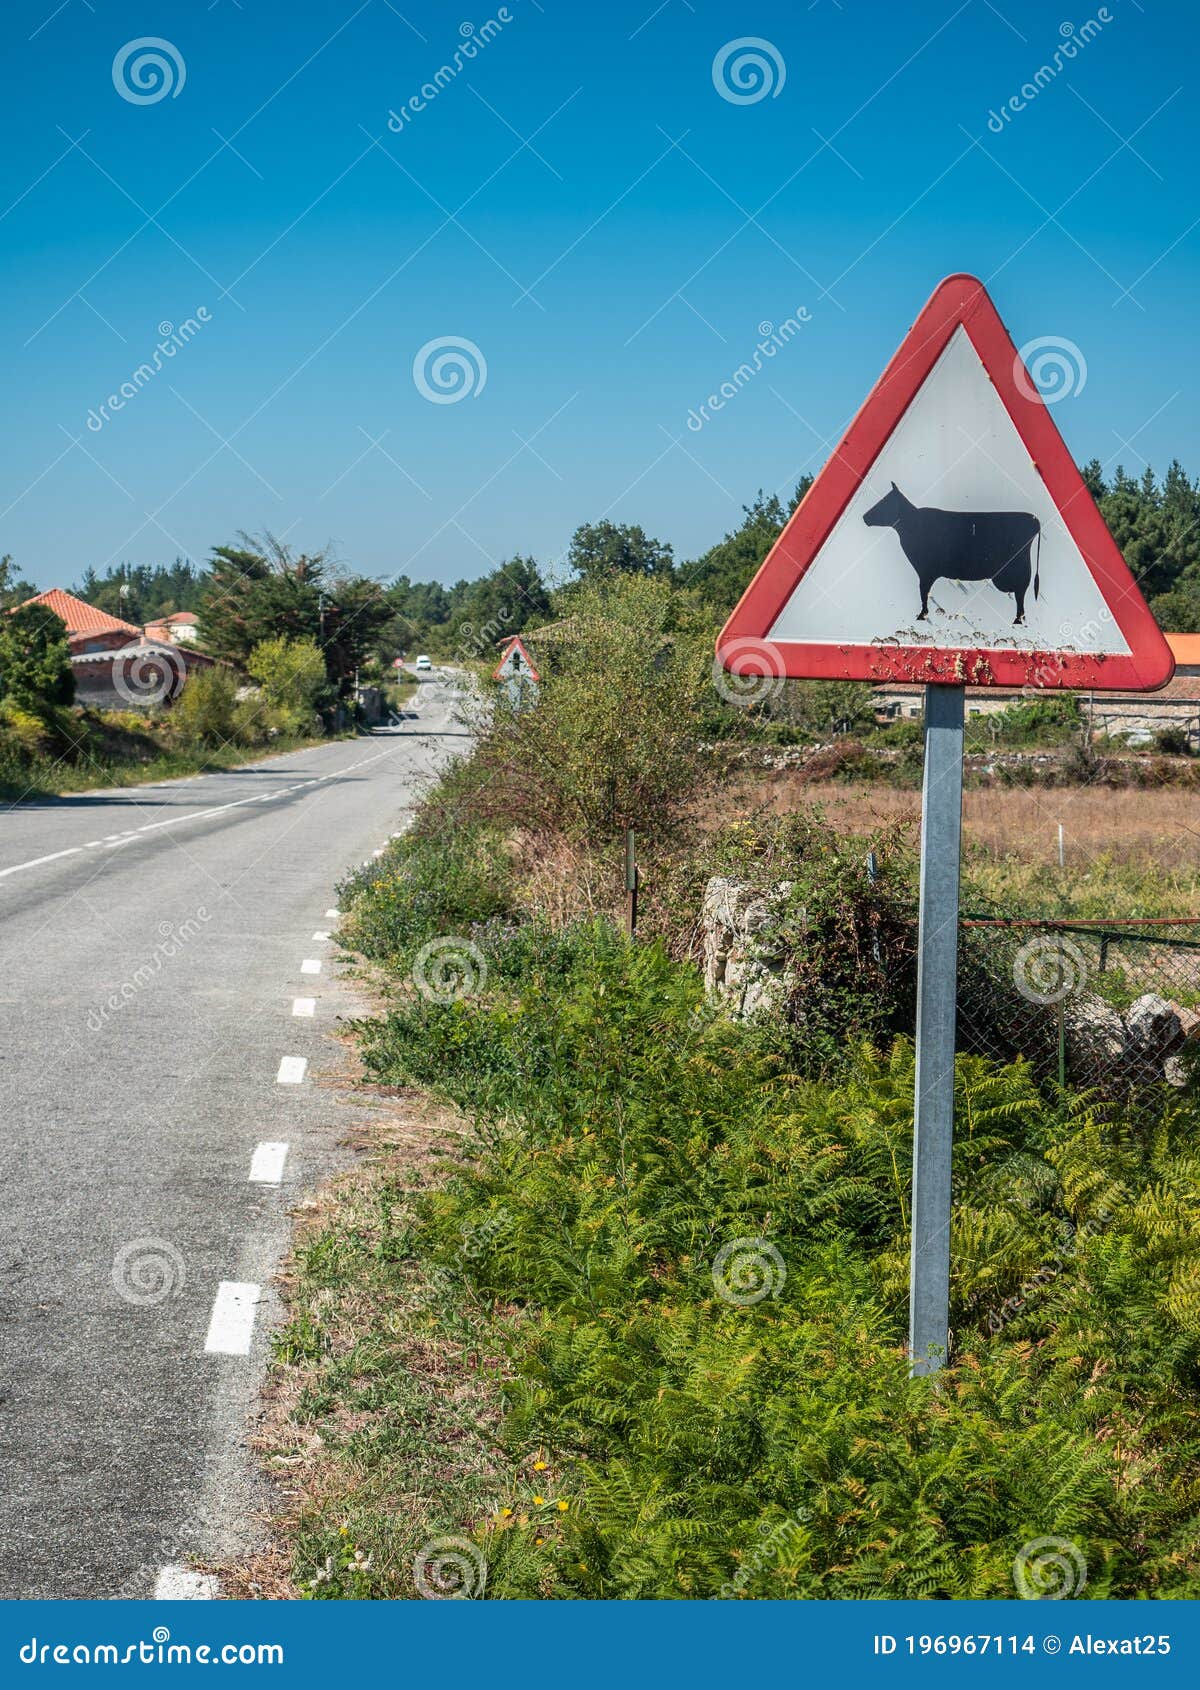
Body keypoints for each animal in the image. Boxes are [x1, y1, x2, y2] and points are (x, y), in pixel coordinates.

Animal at [862, 482, 1041, 626]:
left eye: (884, 502)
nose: (865, 517)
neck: (911, 525)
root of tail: (1034, 519)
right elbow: (924, 591)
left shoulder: (925, 571)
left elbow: (923, 591)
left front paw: (922, 615)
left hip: (1020, 570)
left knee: (1020, 593)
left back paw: (1018, 620)